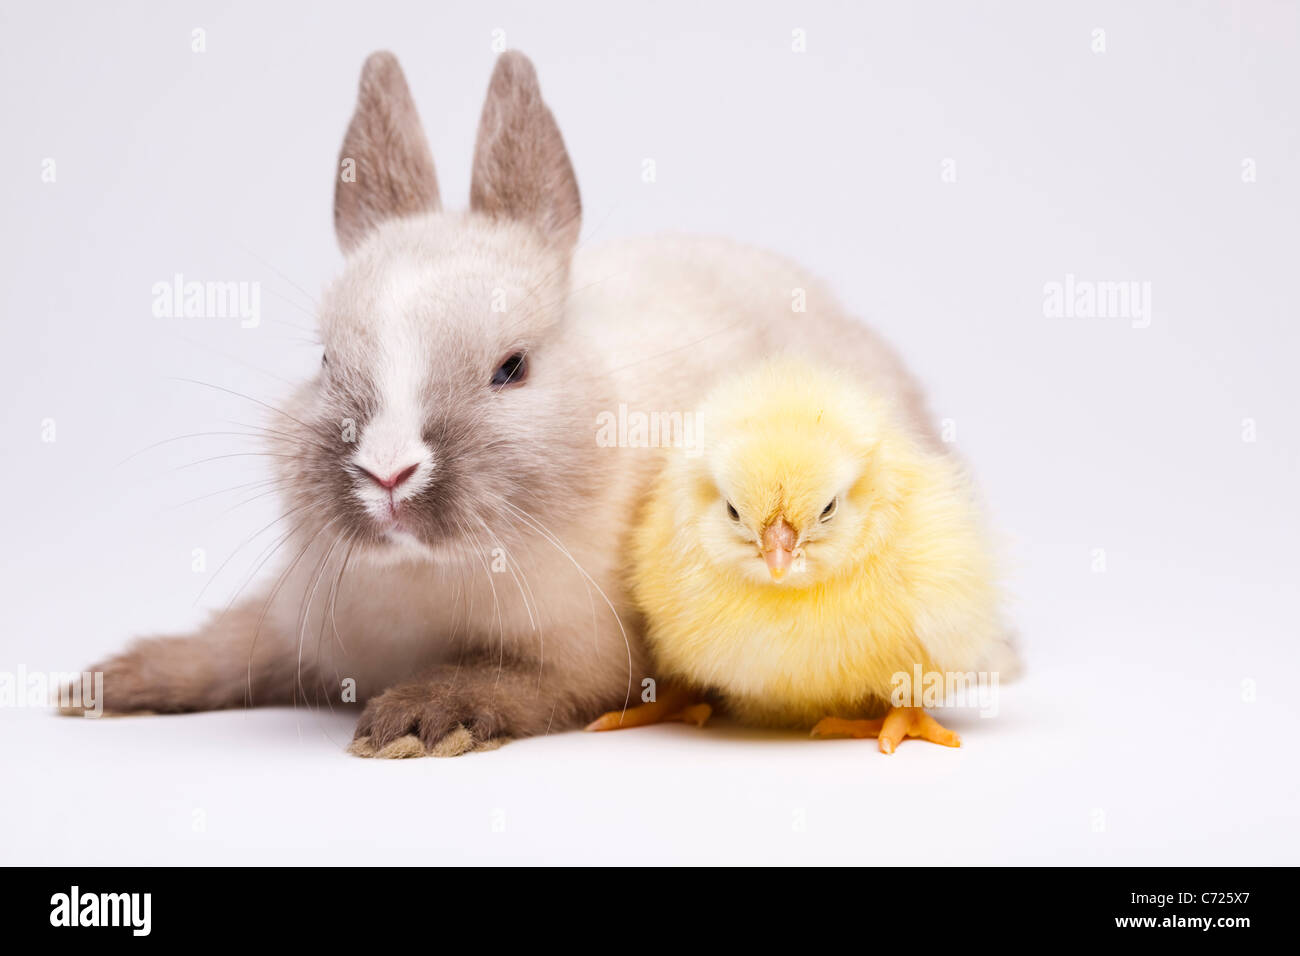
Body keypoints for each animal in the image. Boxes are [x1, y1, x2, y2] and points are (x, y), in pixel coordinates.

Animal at [64, 50, 951, 757]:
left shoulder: (586, 660)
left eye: (511, 369)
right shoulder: (290, 623)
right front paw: (105, 684)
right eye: (324, 361)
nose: (389, 474)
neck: (424, 577)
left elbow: (510, 682)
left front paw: (416, 723)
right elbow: (222, 650)